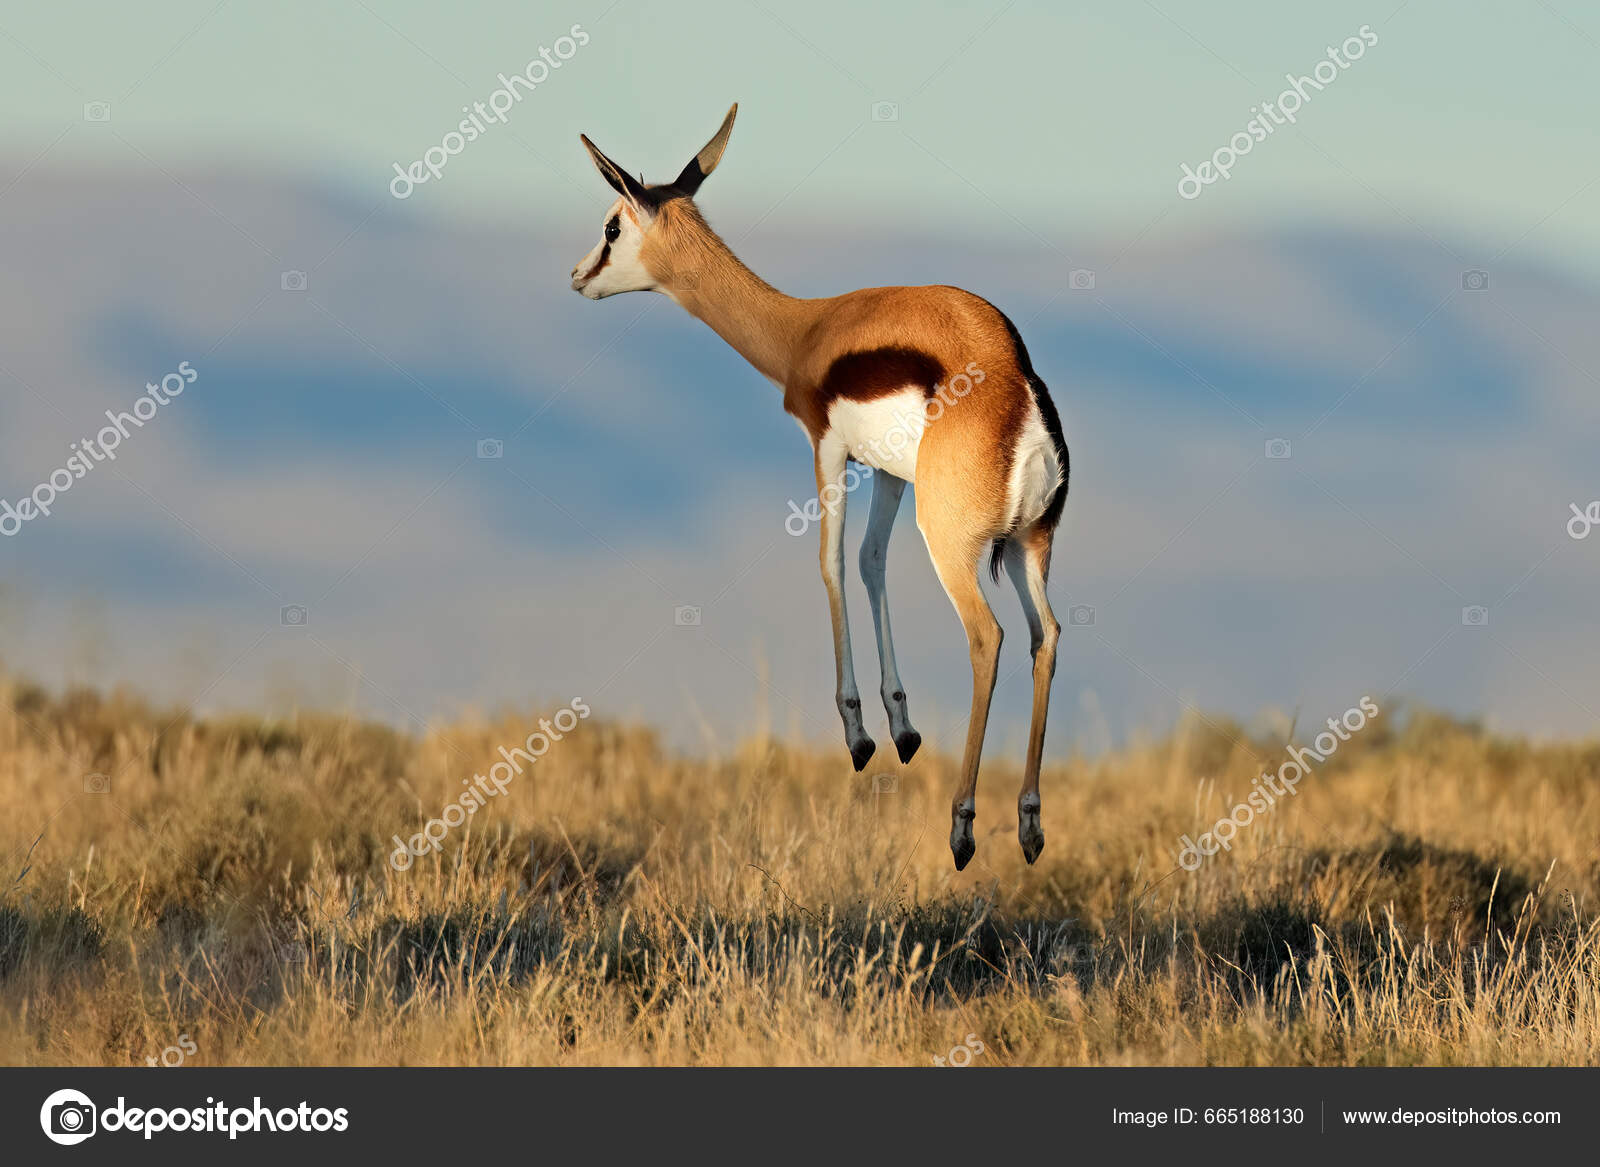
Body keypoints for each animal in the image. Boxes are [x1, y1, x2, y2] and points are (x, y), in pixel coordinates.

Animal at [570, 105, 1069, 869]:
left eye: (612, 226)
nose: (576, 275)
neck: (806, 328)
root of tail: (1020, 391)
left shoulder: (827, 447)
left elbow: (830, 563)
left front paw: (861, 738)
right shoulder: (889, 472)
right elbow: (869, 562)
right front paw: (902, 728)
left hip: (953, 546)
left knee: (989, 635)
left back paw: (961, 826)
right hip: (1027, 547)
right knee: (1047, 634)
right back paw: (1030, 825)